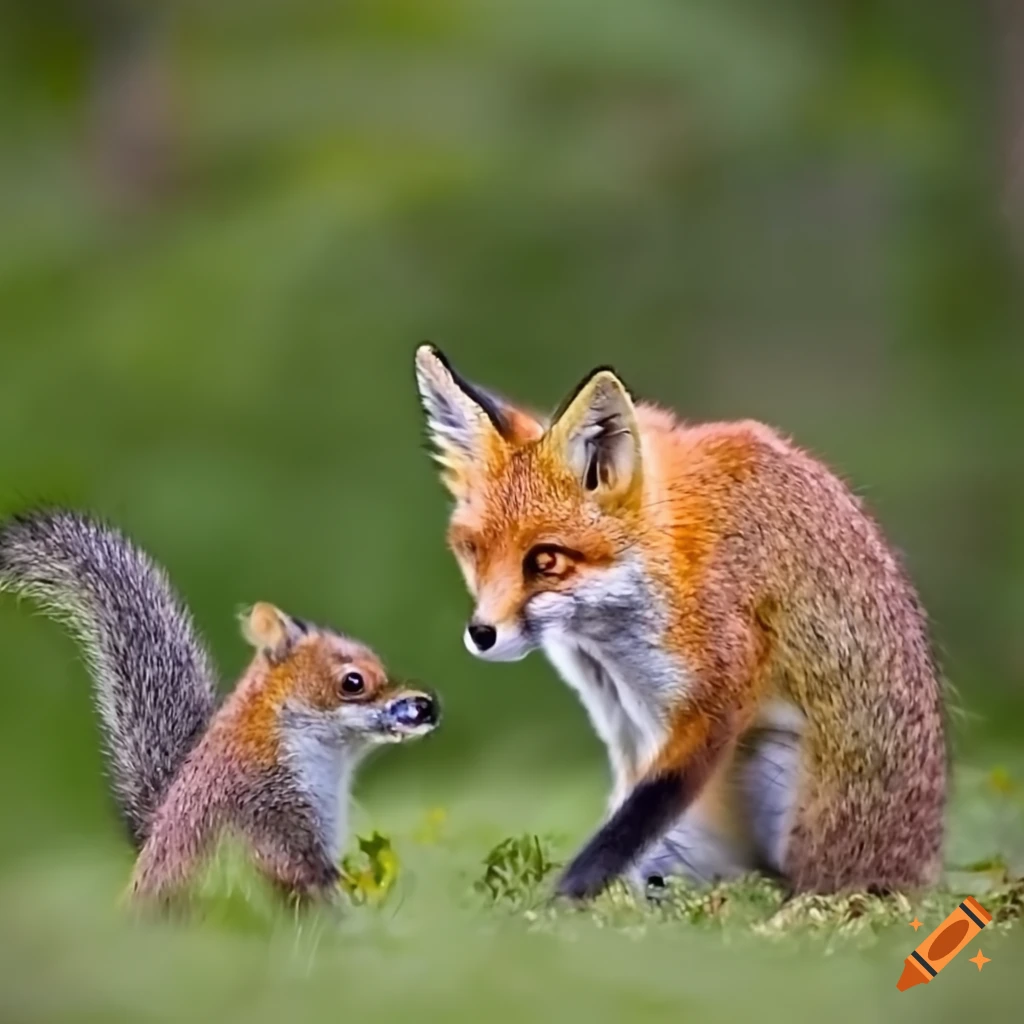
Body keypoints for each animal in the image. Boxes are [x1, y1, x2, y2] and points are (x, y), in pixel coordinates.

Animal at [413, 344, 947, 901]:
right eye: (474, 551)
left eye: (545, 560)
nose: (482, 634)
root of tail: (923, 872)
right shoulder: (624, 723)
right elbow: (625, 813)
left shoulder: (713, 700)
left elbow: (629, 823)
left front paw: (564, 900)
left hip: (775, 766)